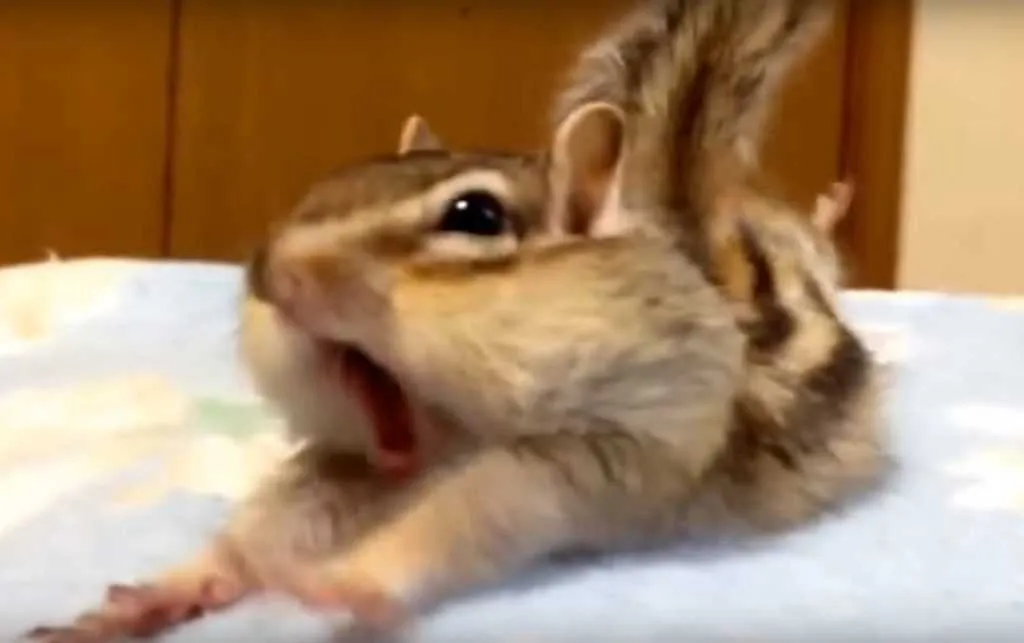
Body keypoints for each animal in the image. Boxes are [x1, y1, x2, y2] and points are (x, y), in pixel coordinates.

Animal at [28, 1, 885, 641]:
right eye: (328, 182)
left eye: (475, 215)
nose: (270, 274)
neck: (444, 436)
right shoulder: (344, 468)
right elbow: (261, 532)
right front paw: (164, 590)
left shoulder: (596, 456)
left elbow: (462, 520)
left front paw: (349, 581)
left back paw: (832, 204)